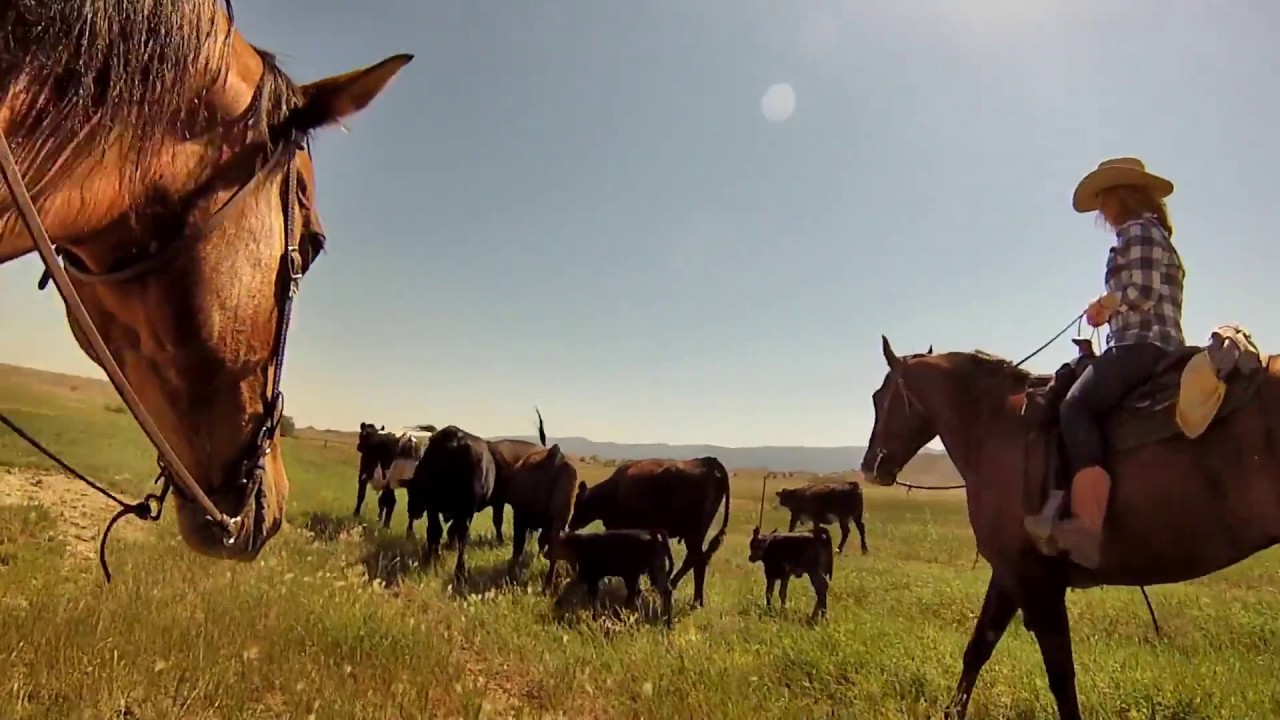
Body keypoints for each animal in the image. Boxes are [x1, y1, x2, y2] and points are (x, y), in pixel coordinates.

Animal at [404, 425, 495, 582]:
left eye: (411, 490)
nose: (412, 510)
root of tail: (454, 443)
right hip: (462, 508)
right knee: (458, 535)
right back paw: (458, 570)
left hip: (451, 508)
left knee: (442, 532)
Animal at [504, 414, 579, 591]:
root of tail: (555, 457)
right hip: (557, 520)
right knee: (553, 545)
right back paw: (548, 584)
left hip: (522, 518)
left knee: (520, 544)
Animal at [547, 529, 675, 628]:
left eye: (555, 545)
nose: (546, 554)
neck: (577, 546)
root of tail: (654, 536)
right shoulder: (586, 576)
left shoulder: (590, 576)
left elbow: (592, 598)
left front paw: (595, 616)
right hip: (653, 570)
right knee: (660, 591)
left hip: (637, 572)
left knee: (639, 593)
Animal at [568, 456, 730, 608]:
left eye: (579, 503)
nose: (570, 524)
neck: (615, 489)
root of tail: (710, 462)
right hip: (695, 536)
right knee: (695, 560)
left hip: (694, 535)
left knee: (697, 561)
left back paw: (693, 600)